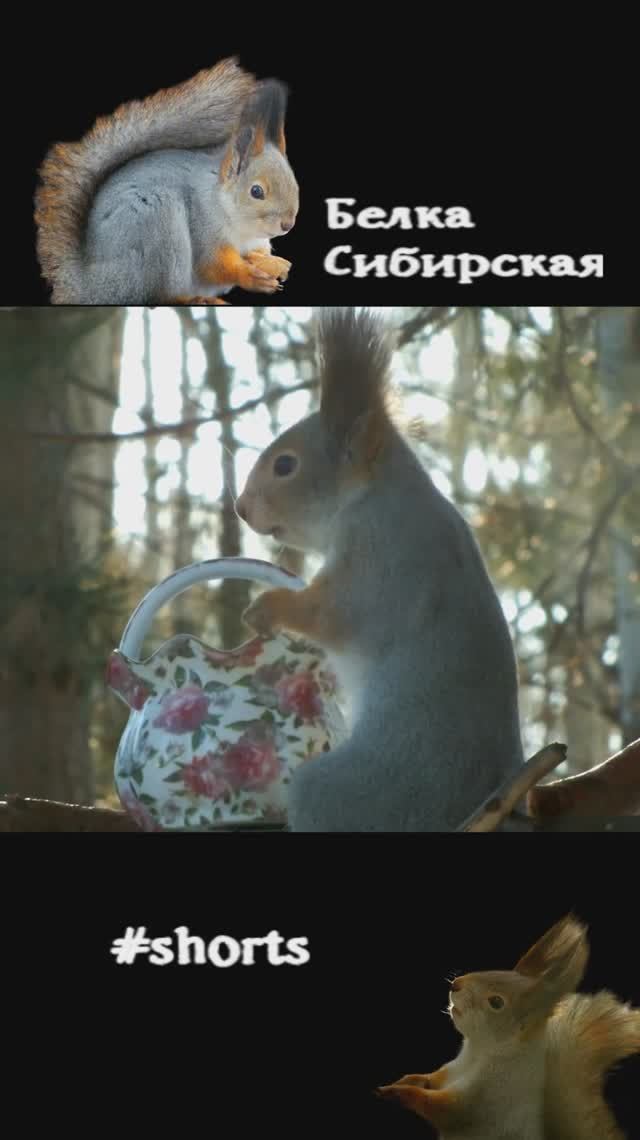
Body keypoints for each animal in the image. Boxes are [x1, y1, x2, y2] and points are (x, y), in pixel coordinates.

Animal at [34, 58, 299, 305]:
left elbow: (256, 254)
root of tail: (93, 285)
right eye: (256, 191)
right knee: (160, 295)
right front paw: (252, 277)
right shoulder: (204, 226)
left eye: (295, 185)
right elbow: (213, 265)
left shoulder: (256, 242)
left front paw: (271, 263)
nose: (287, 225)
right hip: (158, 225)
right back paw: (196, 299)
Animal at [235, 308, 525, 831]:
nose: (240, 508)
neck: (371, 498)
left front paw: (268, 607)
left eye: (286, 465)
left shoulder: (382, 558)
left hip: (356, 794)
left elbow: (334, 612)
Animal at [377, 915, 640, 1140]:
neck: (478, 1052)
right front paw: (407, 1079)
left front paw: (397, 1093)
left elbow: (445, 1110)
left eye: (496, 1002)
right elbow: (431, 1079)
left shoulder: (486, 1098)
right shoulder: (452, 1070)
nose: (455, 984)